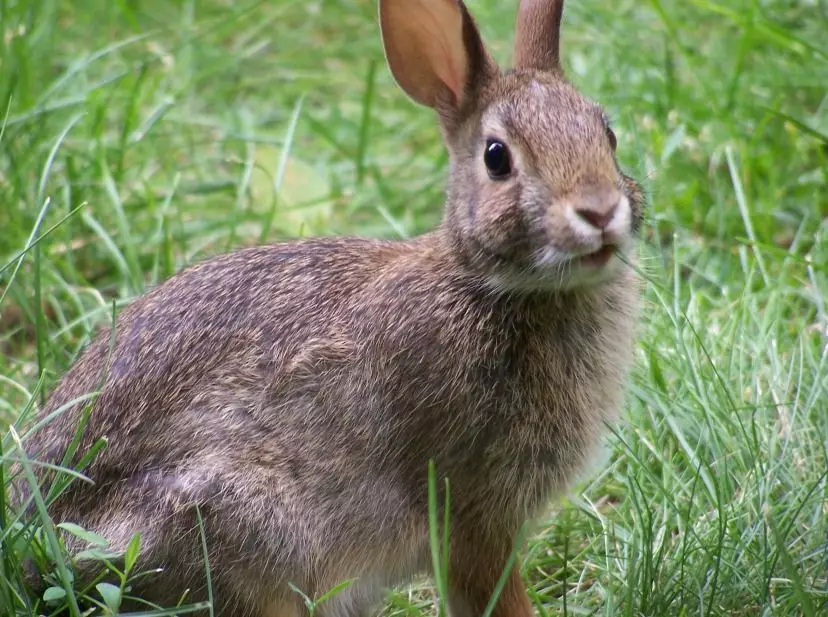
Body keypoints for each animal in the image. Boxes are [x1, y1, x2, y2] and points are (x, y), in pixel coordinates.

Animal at [14, 0, 648, 612]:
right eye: (497, 158)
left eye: (607, 134)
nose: (599, 210)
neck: (487, 285)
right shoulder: (473, 512)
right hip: (244, 524)